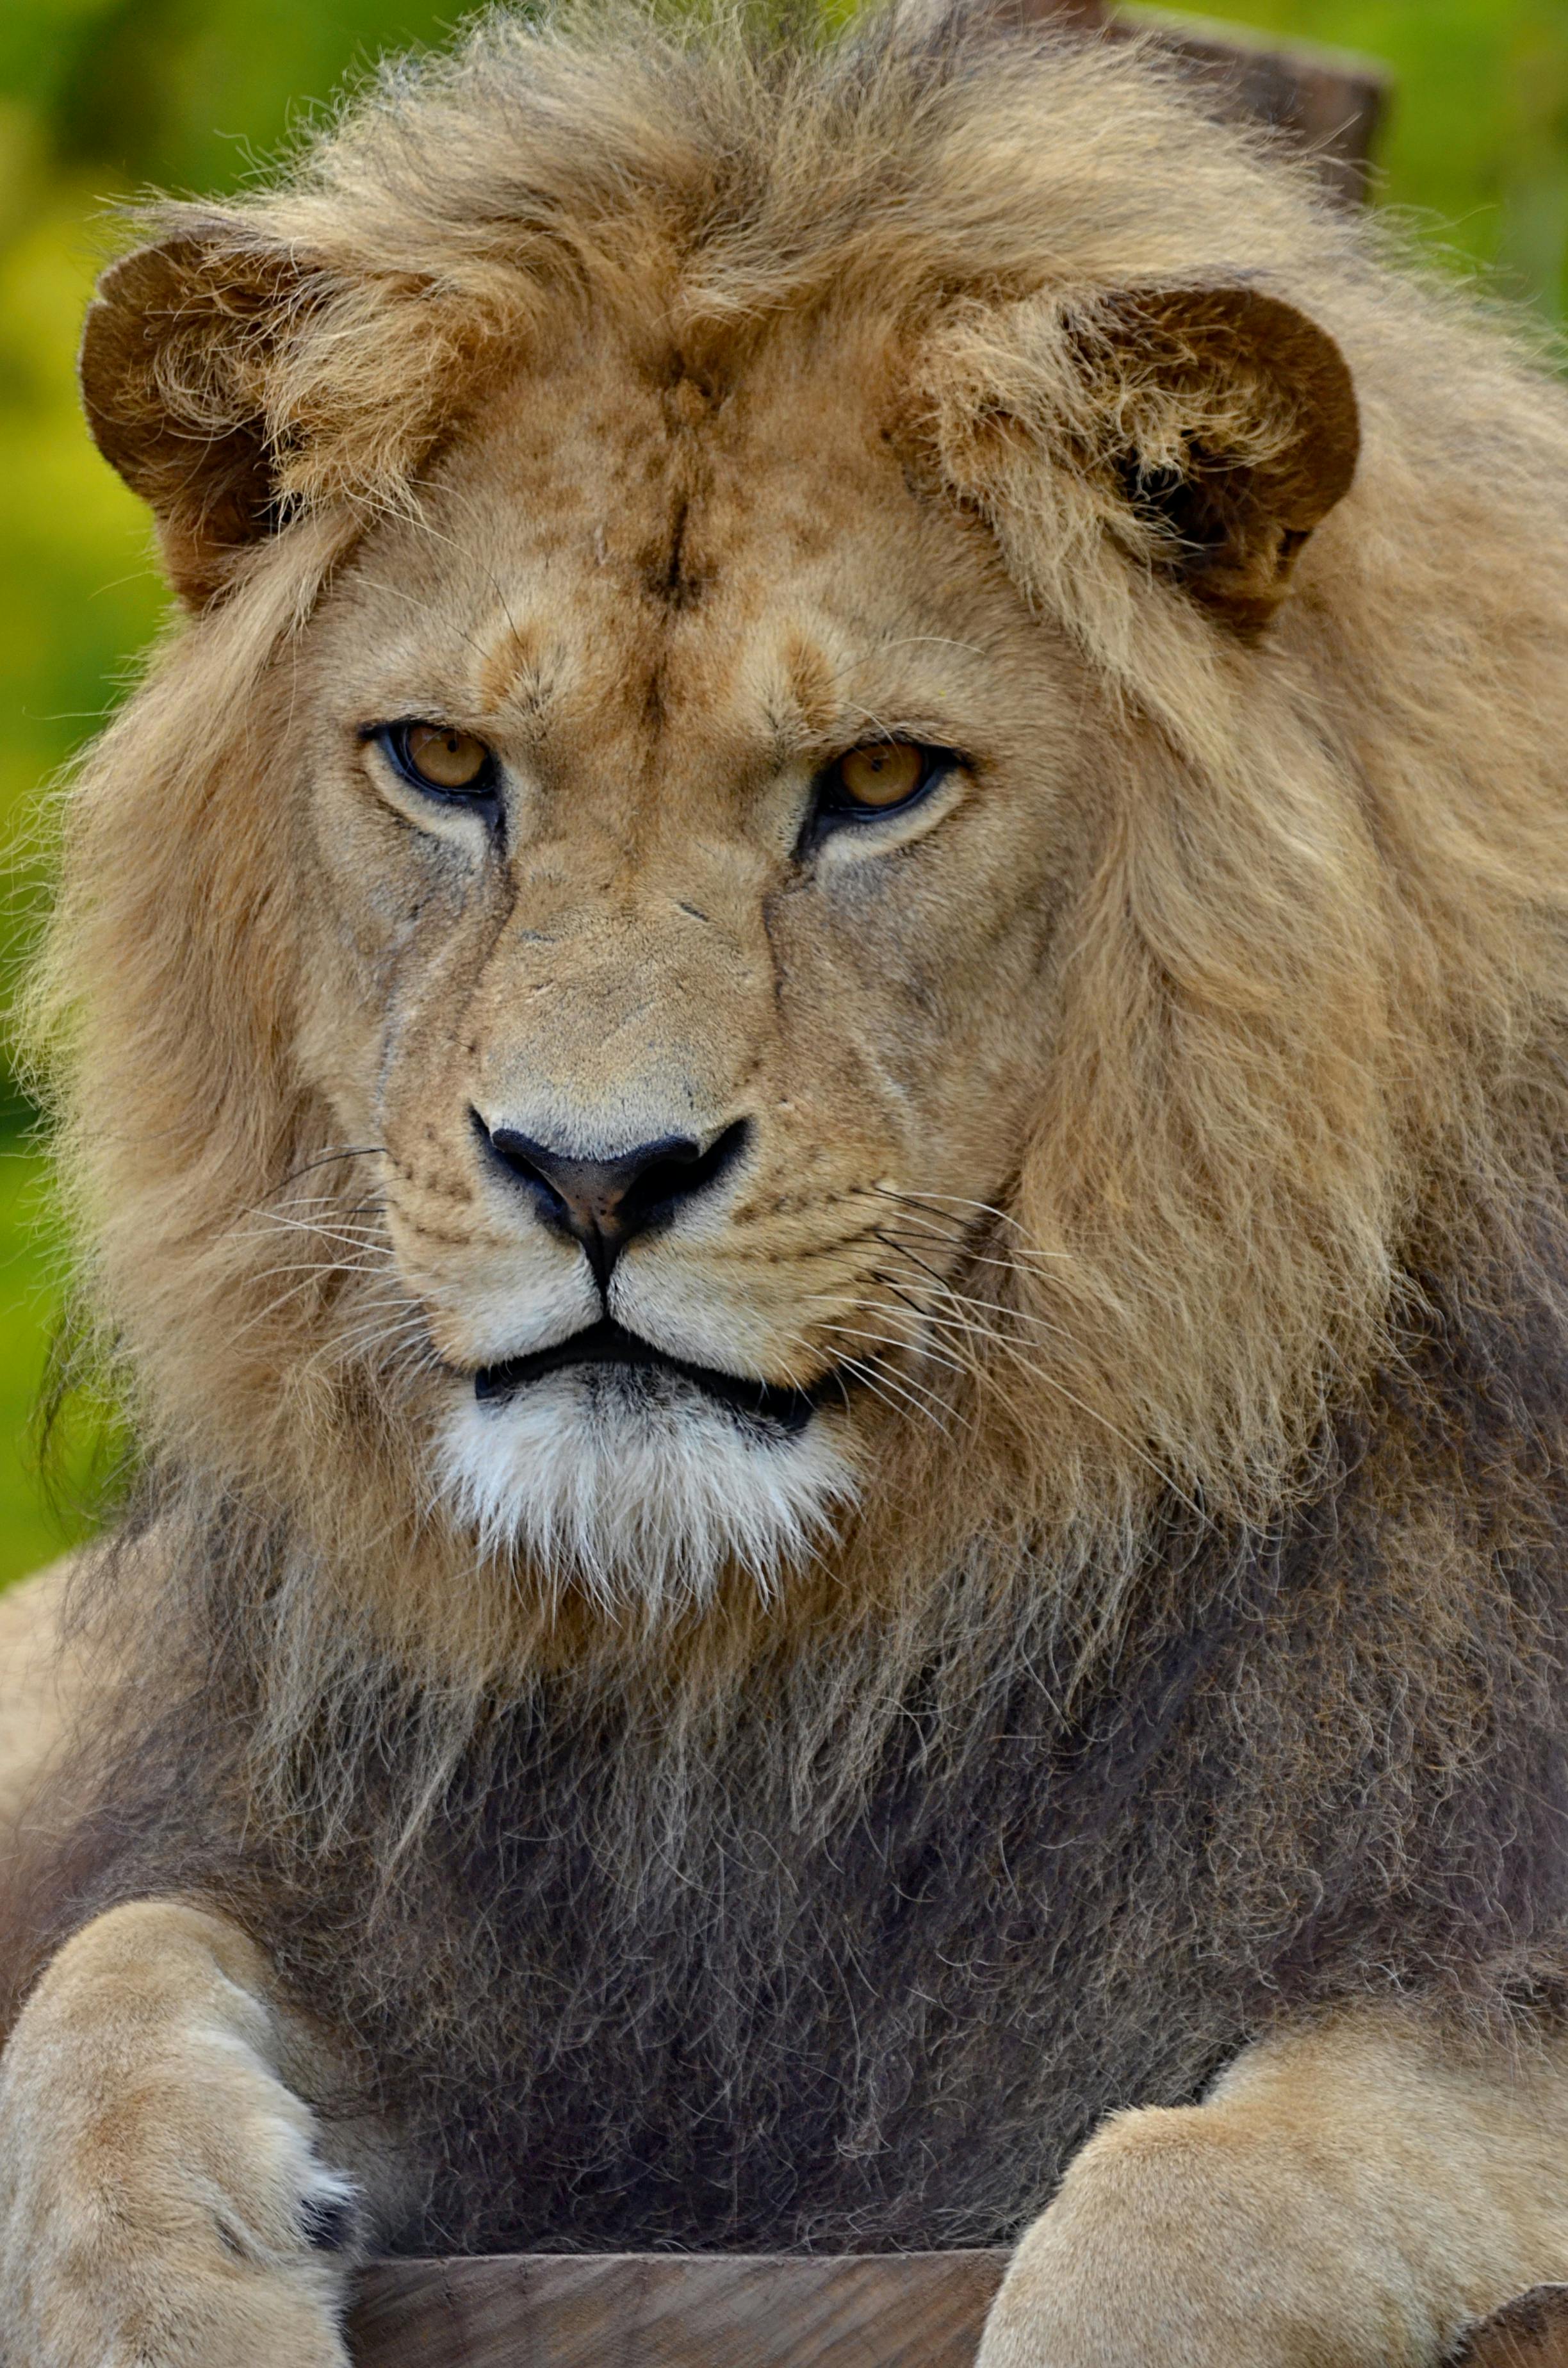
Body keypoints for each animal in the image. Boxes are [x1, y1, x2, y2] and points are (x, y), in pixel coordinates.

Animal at [6, 0, 1568, 2359]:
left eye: (882, 781)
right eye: (442, 763)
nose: (593, 1176)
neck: (792, 1673)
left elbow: (1217, 2186)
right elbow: (96, 1987)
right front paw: (151, 2301)